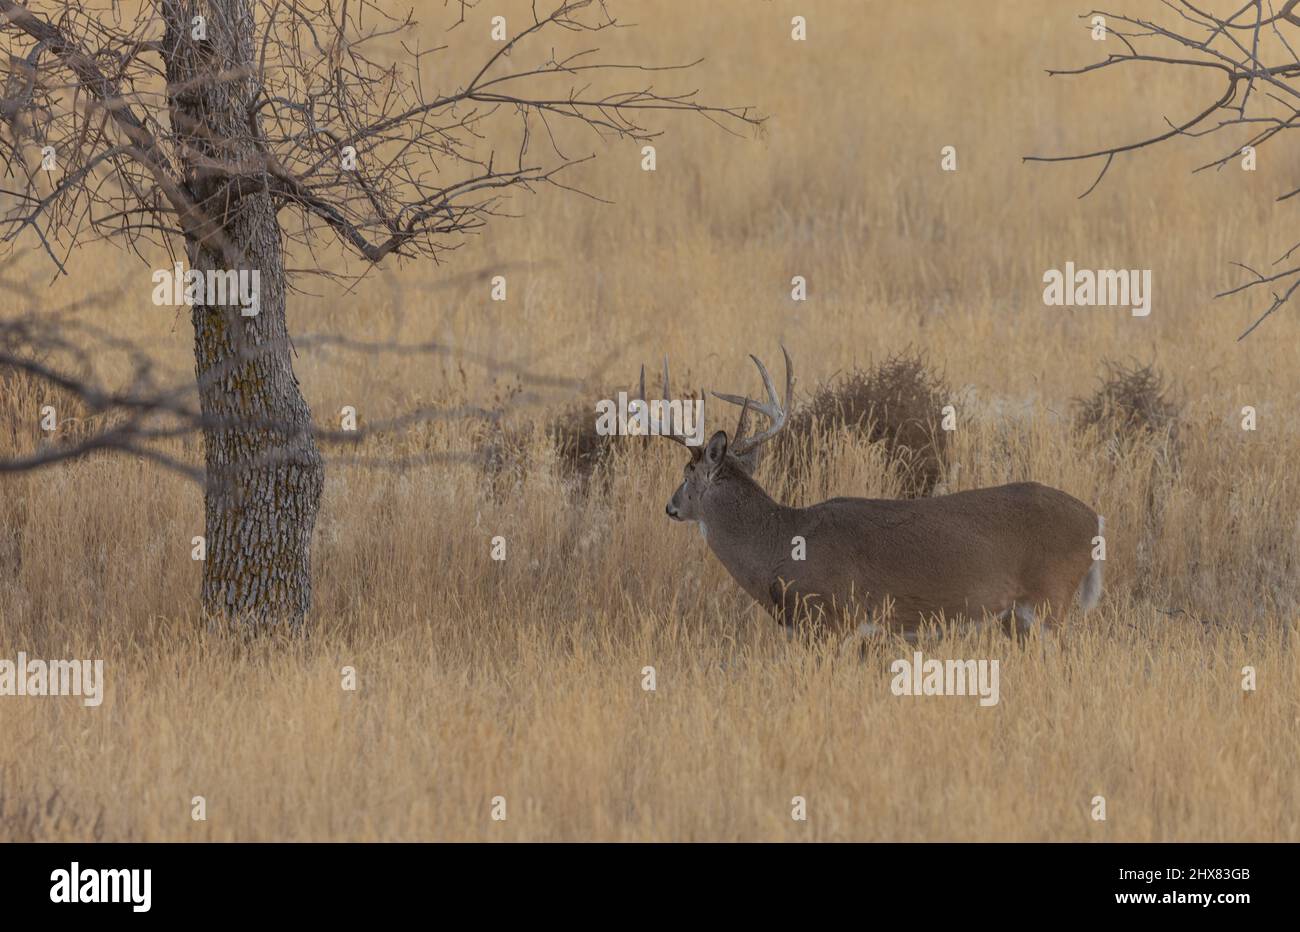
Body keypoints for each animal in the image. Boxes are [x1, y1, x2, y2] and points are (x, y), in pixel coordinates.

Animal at [631, 348, 1104, 640]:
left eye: (688, 471)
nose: (670, 506)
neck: (779, 544)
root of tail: (1095, 520)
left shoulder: (832, 619)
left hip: (1049, 599)